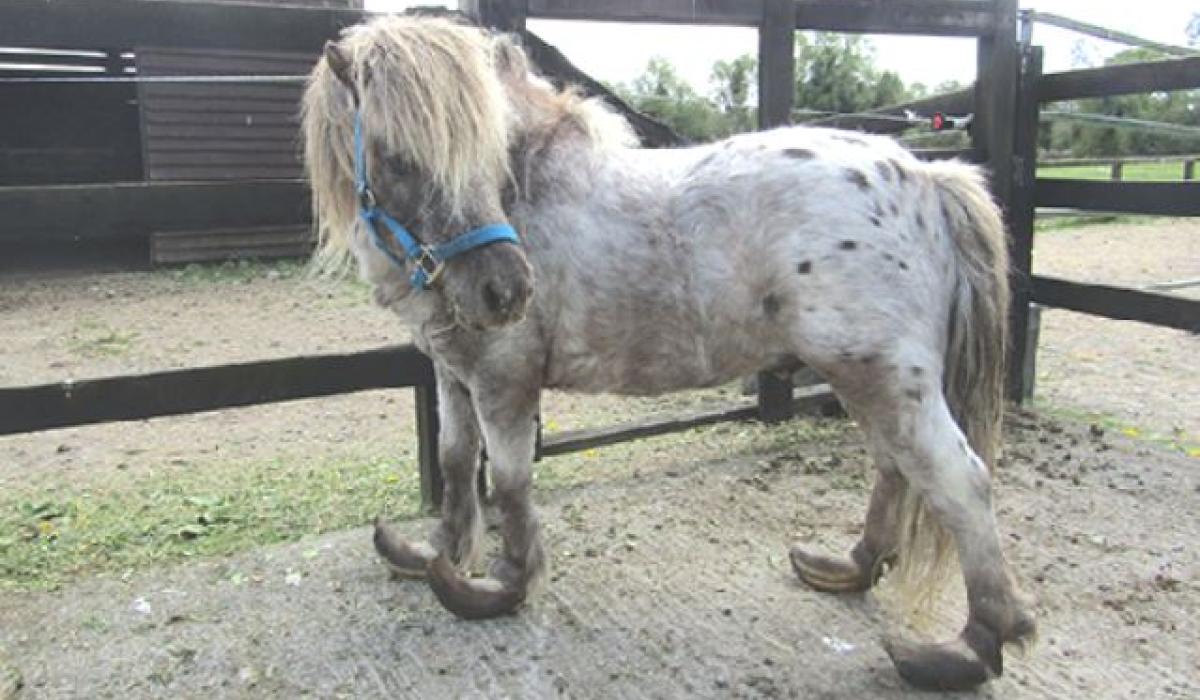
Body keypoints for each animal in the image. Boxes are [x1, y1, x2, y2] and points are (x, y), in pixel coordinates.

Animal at [301, 15, 1036, 691]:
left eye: (487, 159)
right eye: (398, 160)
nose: (505, 290)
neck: (530, 194)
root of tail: (926, 176)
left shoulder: (503, 382)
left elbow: (508, 484)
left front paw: (500, 586)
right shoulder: (453, 374)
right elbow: (456, 466)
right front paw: (438, 555)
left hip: (884, 378)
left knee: (960, 482)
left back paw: (971, 649)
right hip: (867, 380)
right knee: (894, 466)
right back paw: (851, 568)